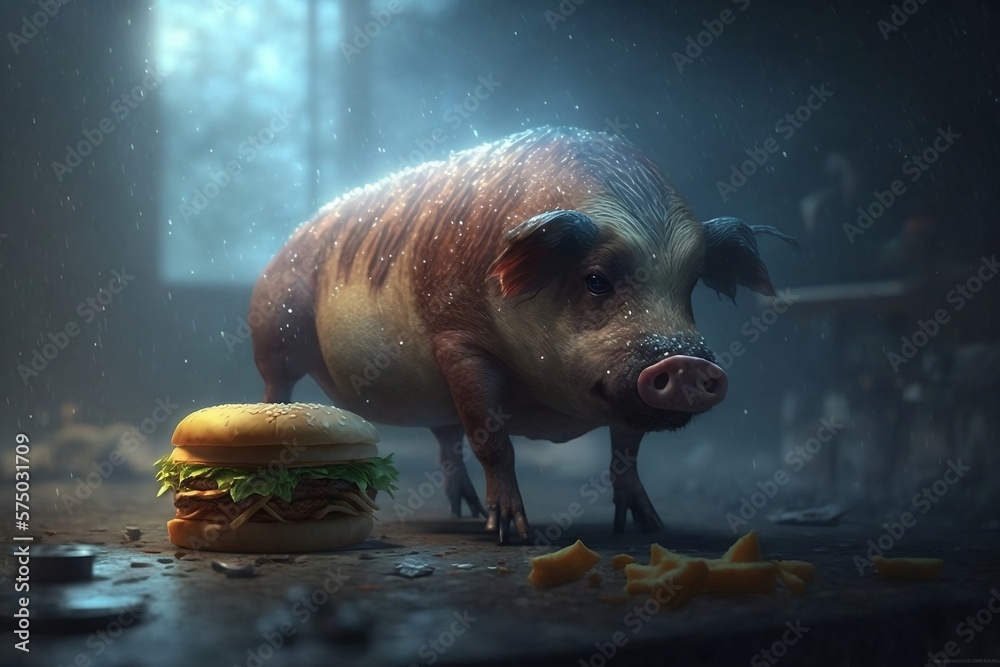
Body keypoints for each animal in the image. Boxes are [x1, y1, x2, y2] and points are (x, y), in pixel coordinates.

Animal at [250, 126, 794, 543]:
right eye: (596, 280)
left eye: (691, 286)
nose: (684, 361)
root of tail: (287, 241)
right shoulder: (457, 339)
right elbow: (493, 440)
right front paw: (512, 534)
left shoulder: (624, 390)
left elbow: (627, 451)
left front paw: (648, 526)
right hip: (274, 327)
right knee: (279, 383)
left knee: (446, 436)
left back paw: (464, 512)